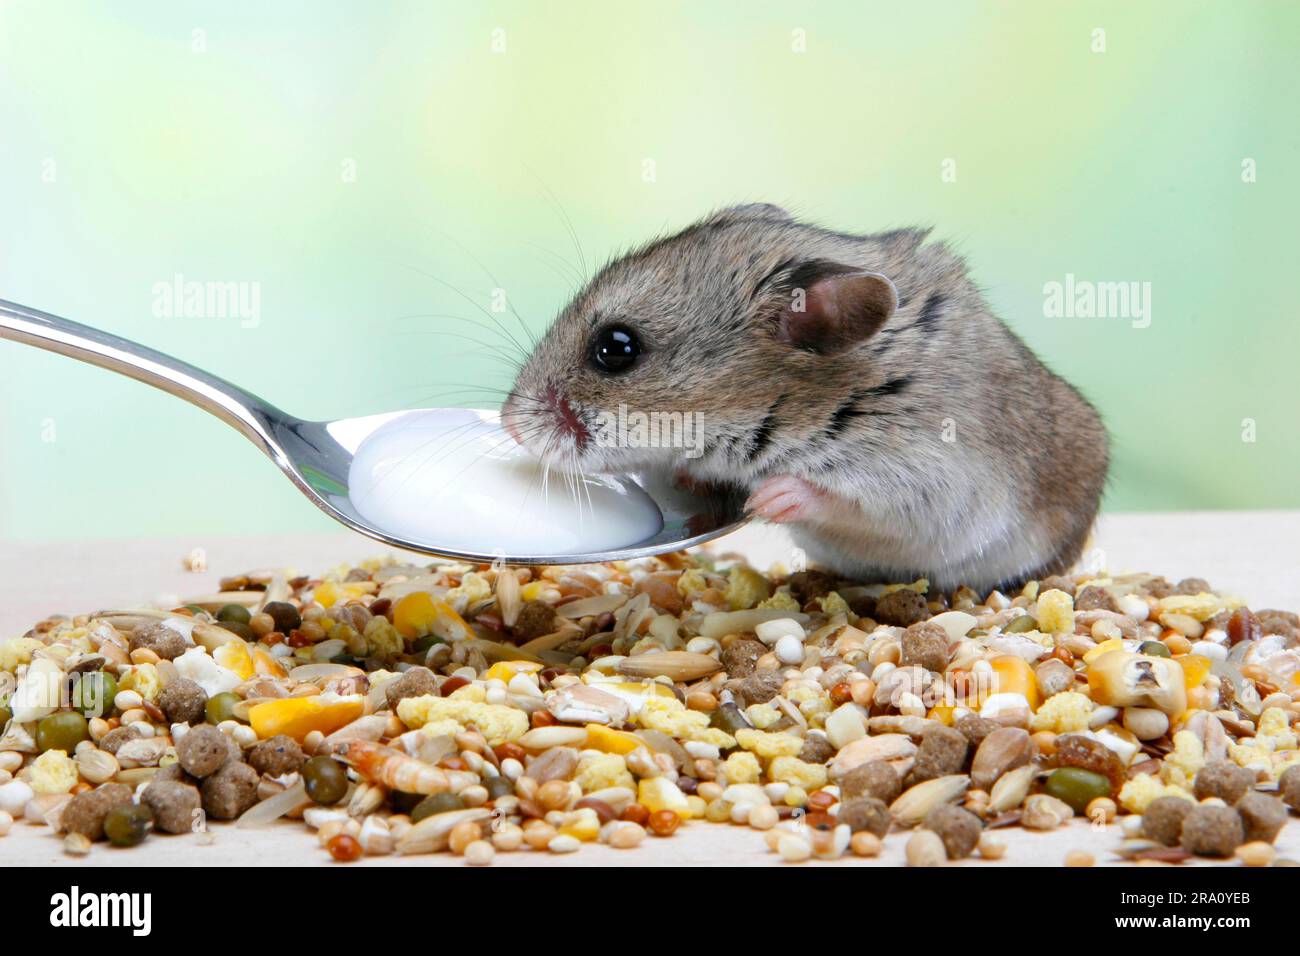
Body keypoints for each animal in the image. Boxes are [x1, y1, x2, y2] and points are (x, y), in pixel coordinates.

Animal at [502, 204, 1108, 593]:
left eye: (616, 348)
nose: (510, 424)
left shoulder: (925, 477)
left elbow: (841, 499)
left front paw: (767, 500)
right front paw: (694, 478)